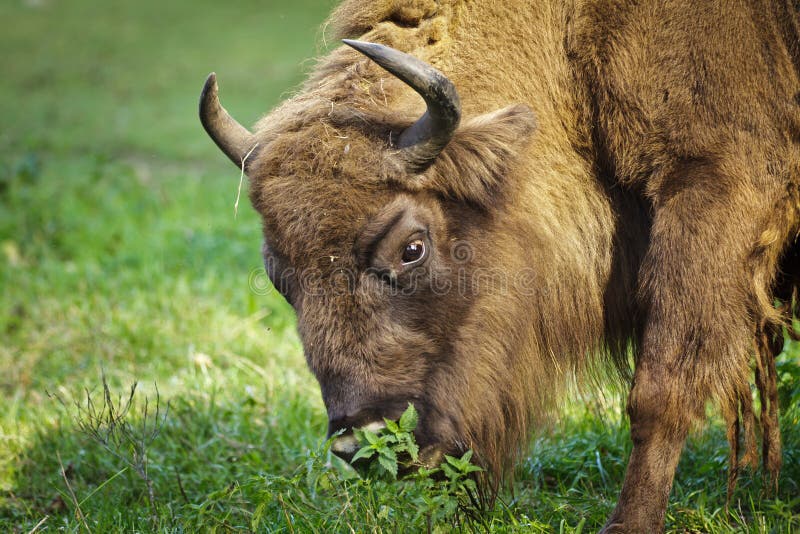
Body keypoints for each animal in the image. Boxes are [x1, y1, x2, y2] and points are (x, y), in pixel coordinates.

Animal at [199, 1, 800, 531]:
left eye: (412, 248)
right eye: (280, 278)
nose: (359, 438)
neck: (570, 42)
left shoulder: (715, 186)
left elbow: (659, 388)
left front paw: (628, 524)